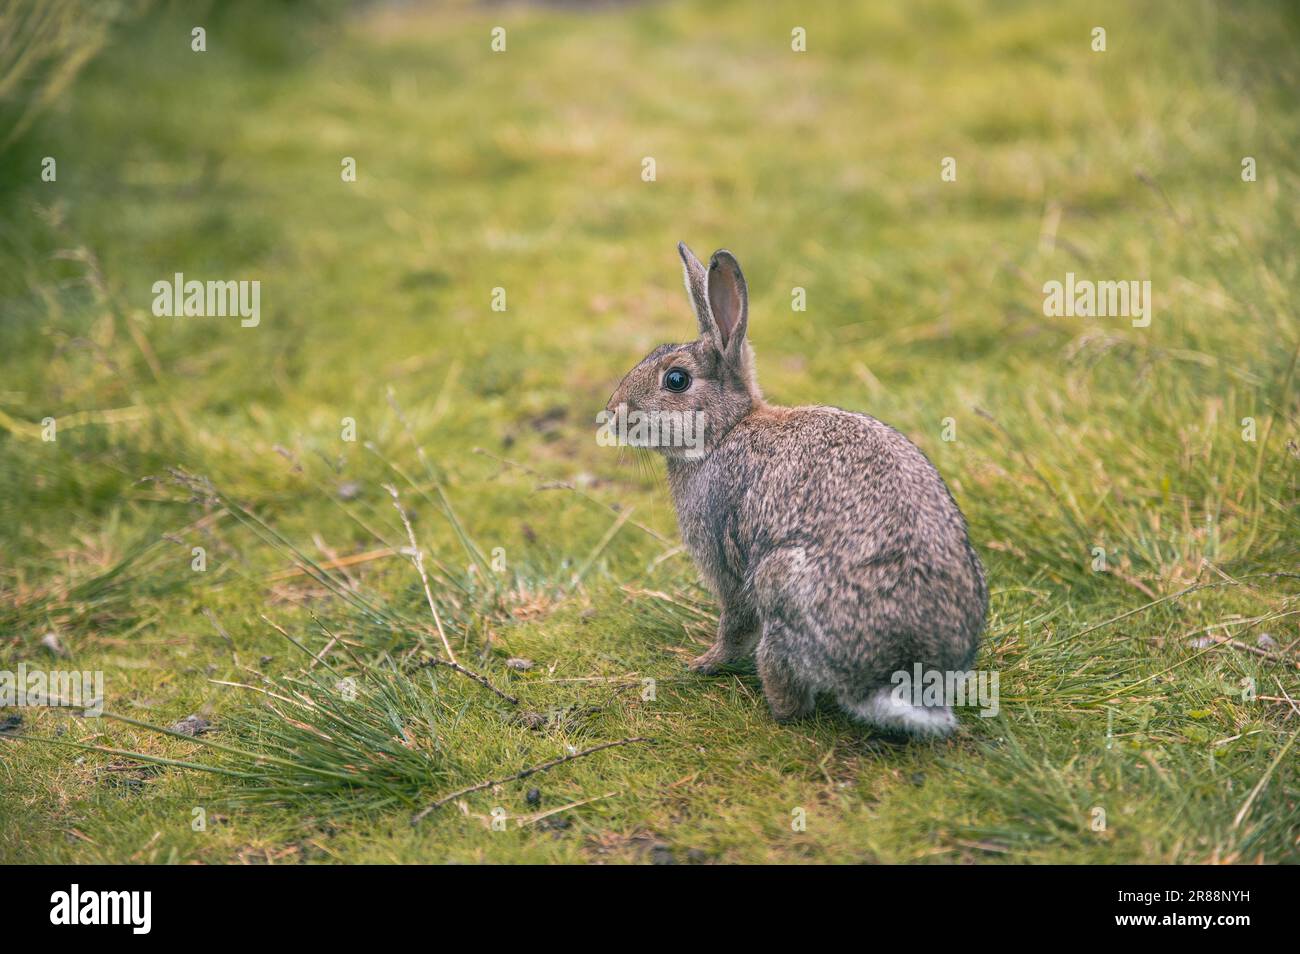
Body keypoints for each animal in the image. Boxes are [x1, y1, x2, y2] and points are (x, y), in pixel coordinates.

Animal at [603, 243, 988, 737]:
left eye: (676, 380)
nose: (612, 414)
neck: (727, 429)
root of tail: (900, 678)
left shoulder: (726, 563)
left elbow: (734, 622)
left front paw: (704, 663)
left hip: (778, 583)